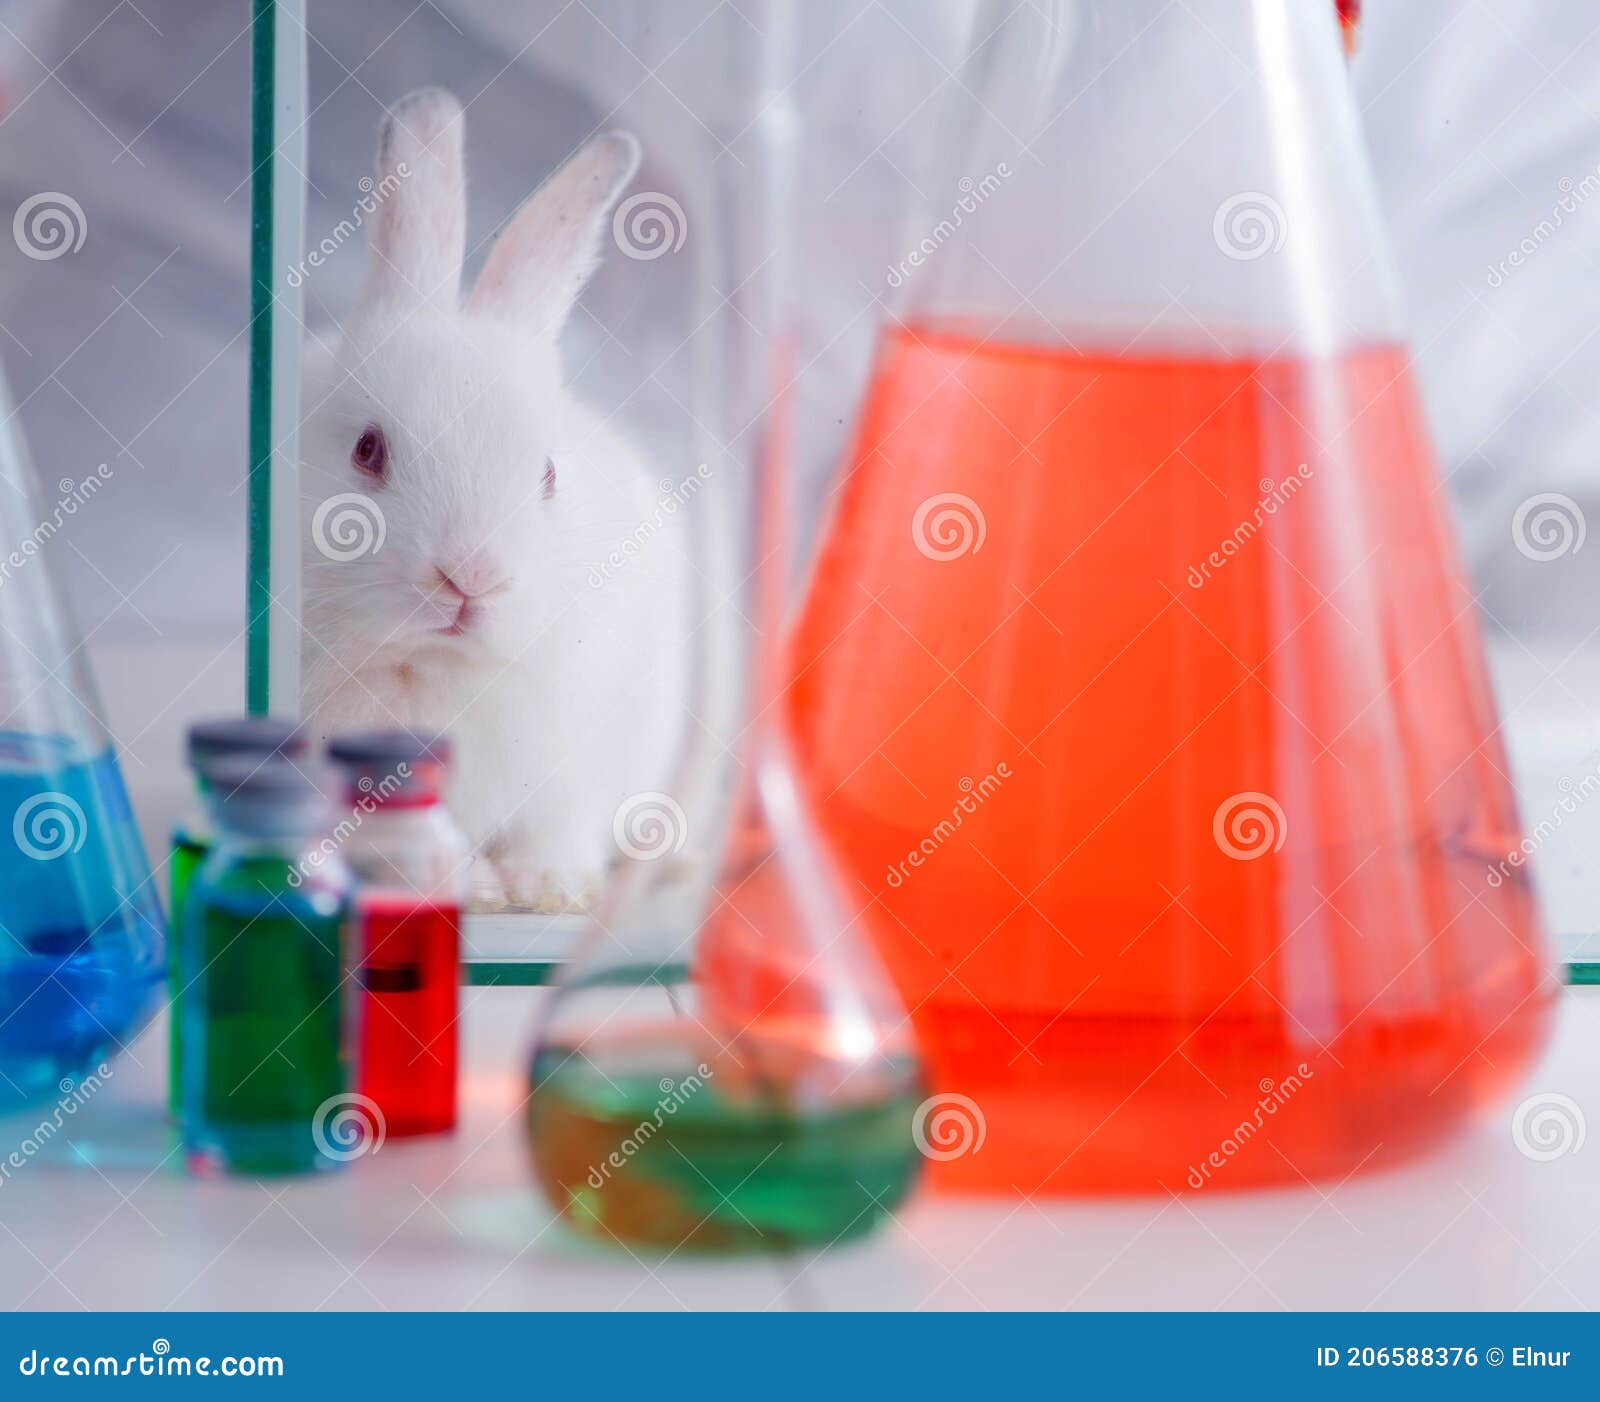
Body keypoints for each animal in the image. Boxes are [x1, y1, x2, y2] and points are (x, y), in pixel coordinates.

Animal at [298, 87, 691, 913]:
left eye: (548, 475)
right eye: (367, 451)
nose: (469, 578)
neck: (435, 664)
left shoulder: (580, 762)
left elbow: (559, 826)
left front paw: (552, 888)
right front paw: (469, 886)